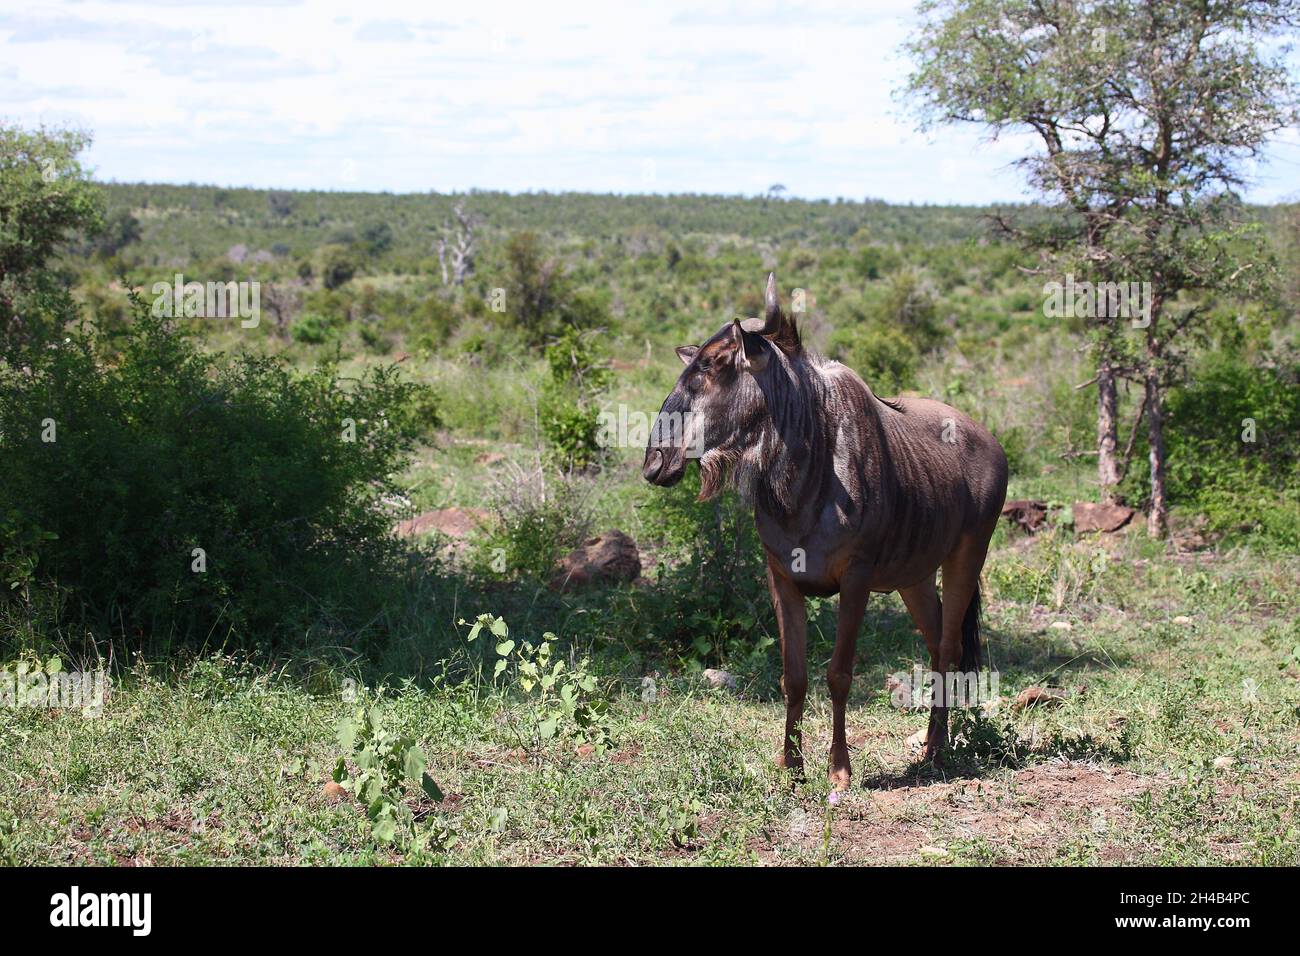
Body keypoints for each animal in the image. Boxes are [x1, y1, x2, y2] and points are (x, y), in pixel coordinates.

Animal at [643, 273, 1008, 787]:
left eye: (712, 366)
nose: (655, 461)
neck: (805, 479)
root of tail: (991, 441)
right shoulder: (781, 579)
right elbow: (793, 676)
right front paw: (792, 765)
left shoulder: (855, 580)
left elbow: (839, 674)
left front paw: (839, 769)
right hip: (913, 578)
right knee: (936, 642)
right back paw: (931, 744)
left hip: (967, 557)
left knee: (951, 645)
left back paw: (938, 749)